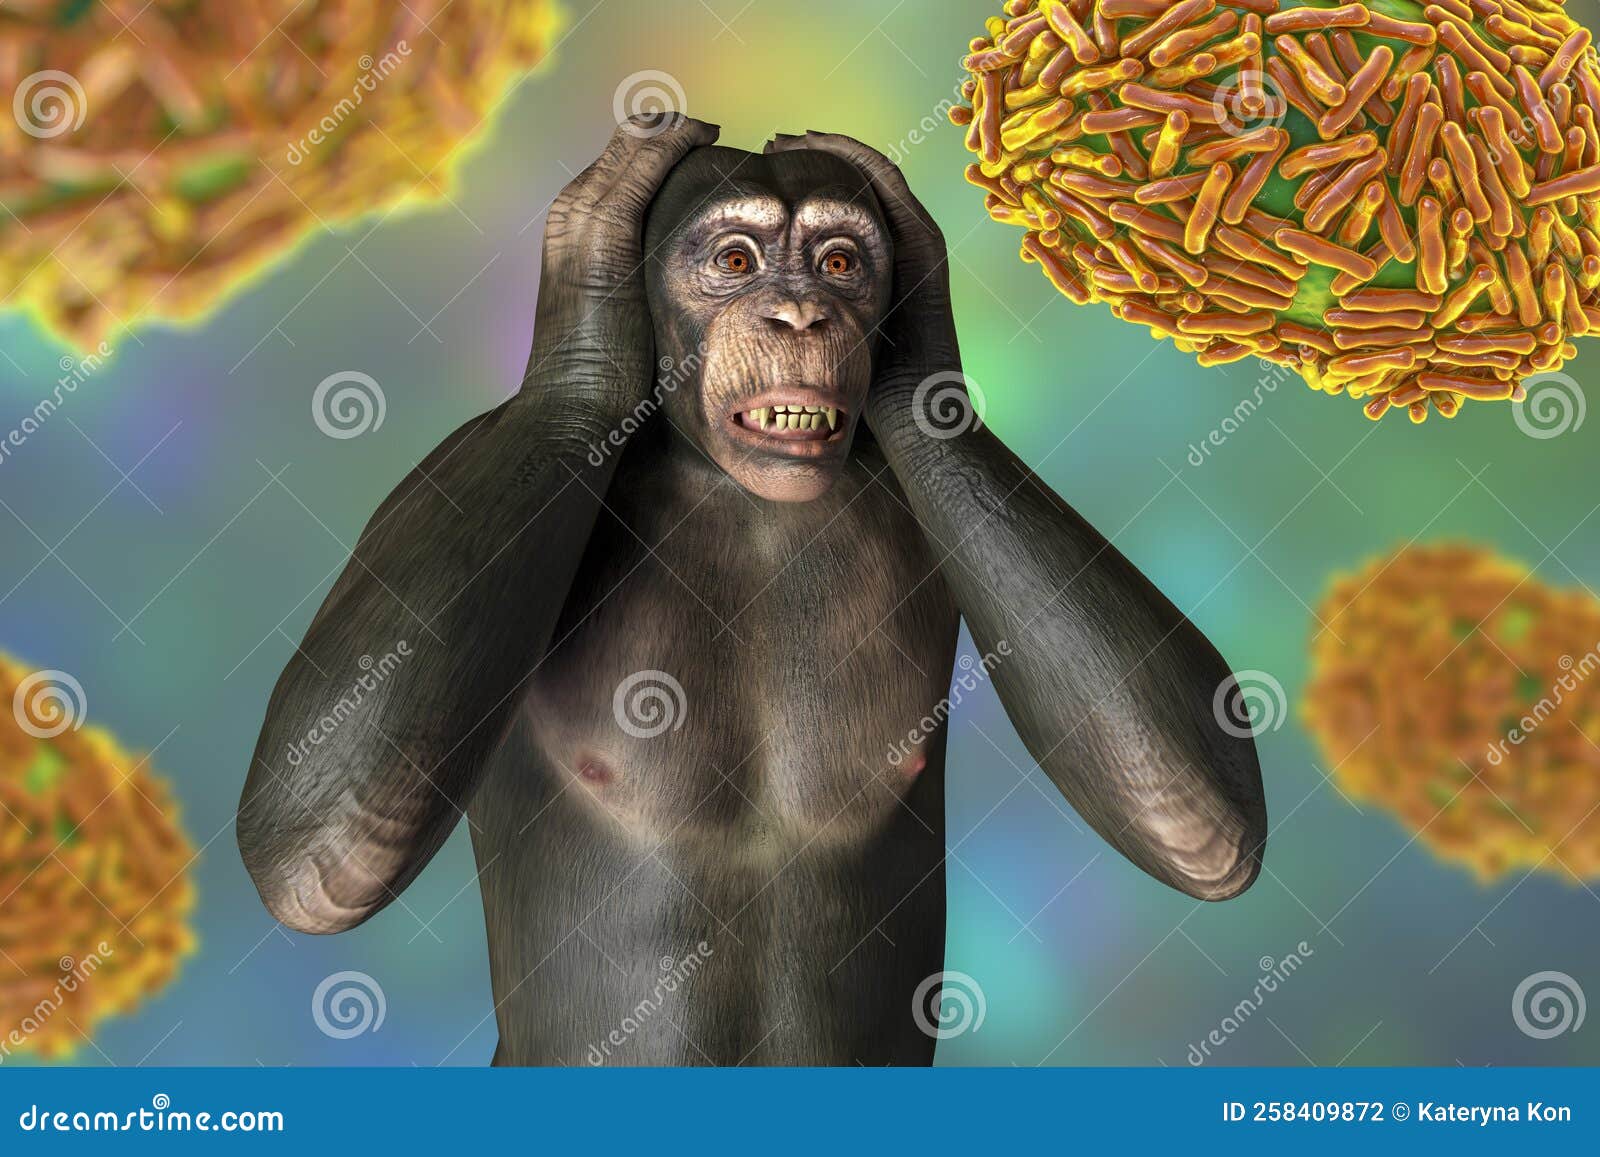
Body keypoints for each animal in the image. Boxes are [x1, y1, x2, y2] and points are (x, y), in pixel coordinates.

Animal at [237, 115, 1267, 1066]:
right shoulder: (439, 481)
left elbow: (1198, 813)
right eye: (736, 260)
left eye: (841, 261)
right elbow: (316, 847)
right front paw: (591, 274)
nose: (802, 313)